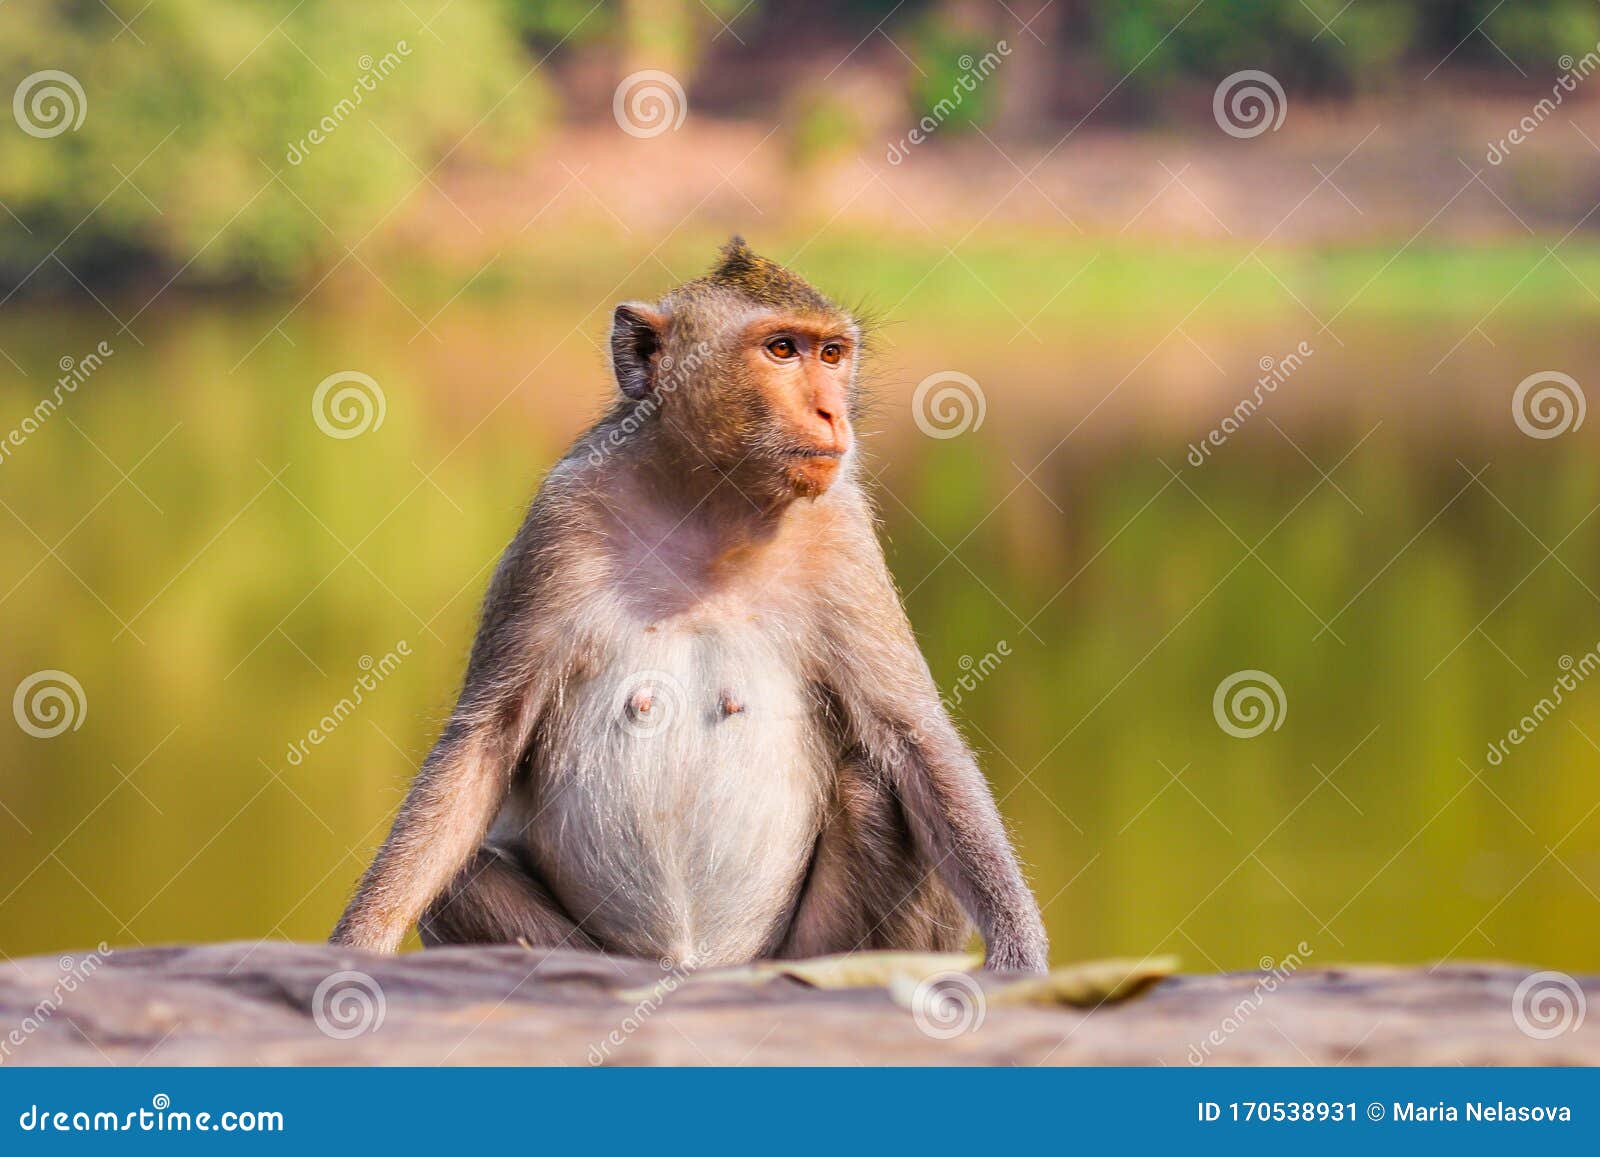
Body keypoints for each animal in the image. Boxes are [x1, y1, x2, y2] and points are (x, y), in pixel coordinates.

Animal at [330, 238, 1049, 973]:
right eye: (782, 349)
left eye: (831, 354)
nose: (831, 412)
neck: (711, 510)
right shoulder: (560, 520)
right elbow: (485, 743)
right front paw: (360, 938)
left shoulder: (841, 531)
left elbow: (914, 739)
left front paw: (1018, 946)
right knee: (463, 868)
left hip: (797, 948)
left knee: (877, 788)